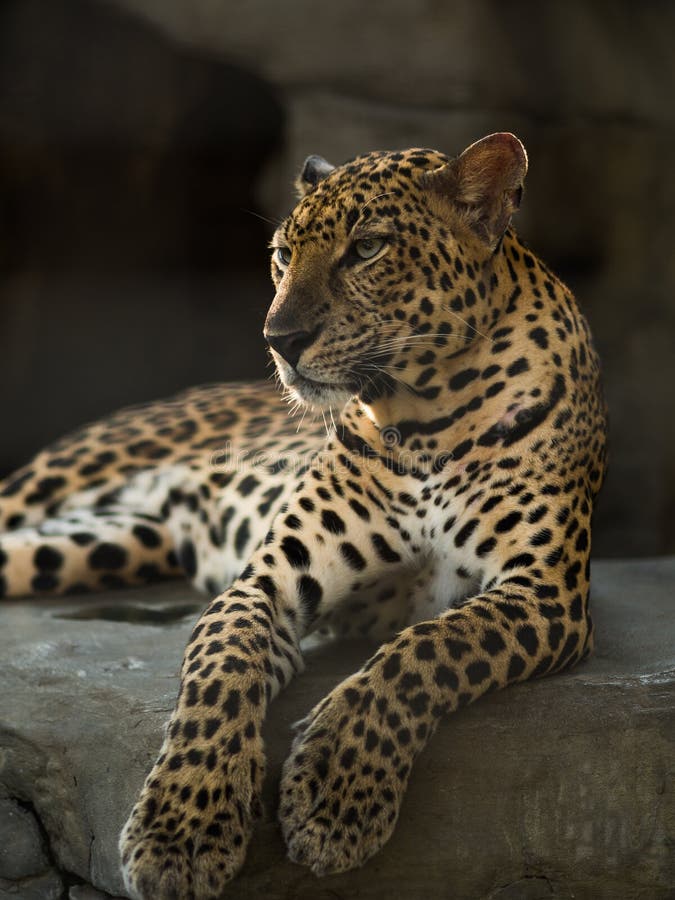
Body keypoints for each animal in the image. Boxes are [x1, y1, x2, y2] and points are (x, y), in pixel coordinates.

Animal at [0, 133, 607, 899]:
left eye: (367, 248)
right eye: (283, 256)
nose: (279, 338)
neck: (425, 415)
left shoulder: (544, 593)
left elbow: (423, 651)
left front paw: (336, 790)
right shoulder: (268, 582)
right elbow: (219, 669)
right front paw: (181, 827)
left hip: (86, 547)